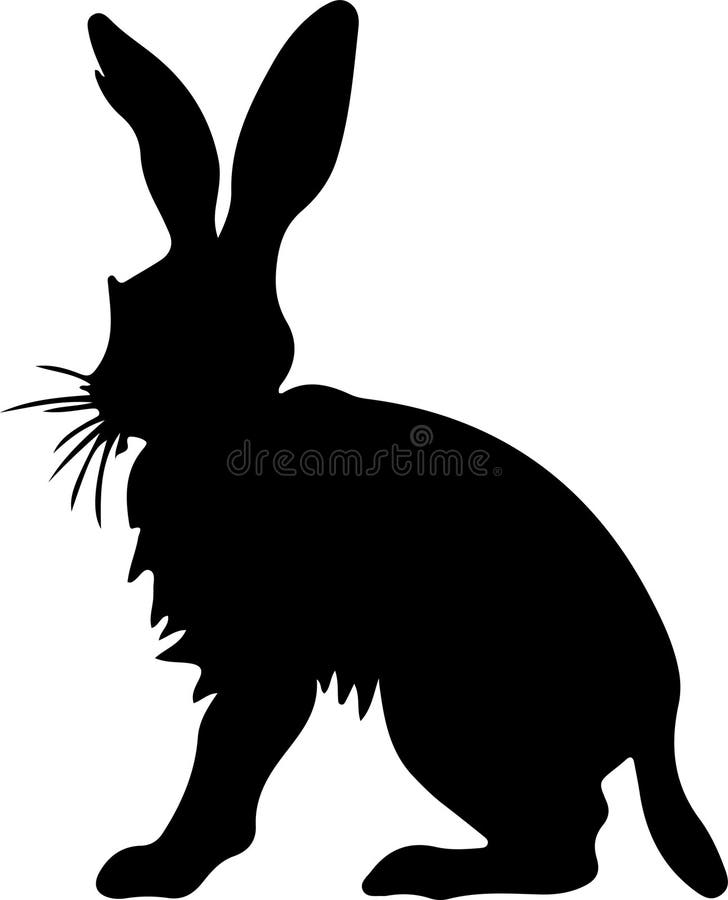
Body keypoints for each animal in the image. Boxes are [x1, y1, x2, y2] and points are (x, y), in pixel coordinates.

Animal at [7, 2, 726, 898]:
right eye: (124, 306)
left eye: (196, 323)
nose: (122, 395)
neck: (222, 430)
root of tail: (656, 713)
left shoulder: (265, 649)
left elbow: (228, 754)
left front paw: (156, 869)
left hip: (444, 709)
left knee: (572, 842)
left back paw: (413, 869)